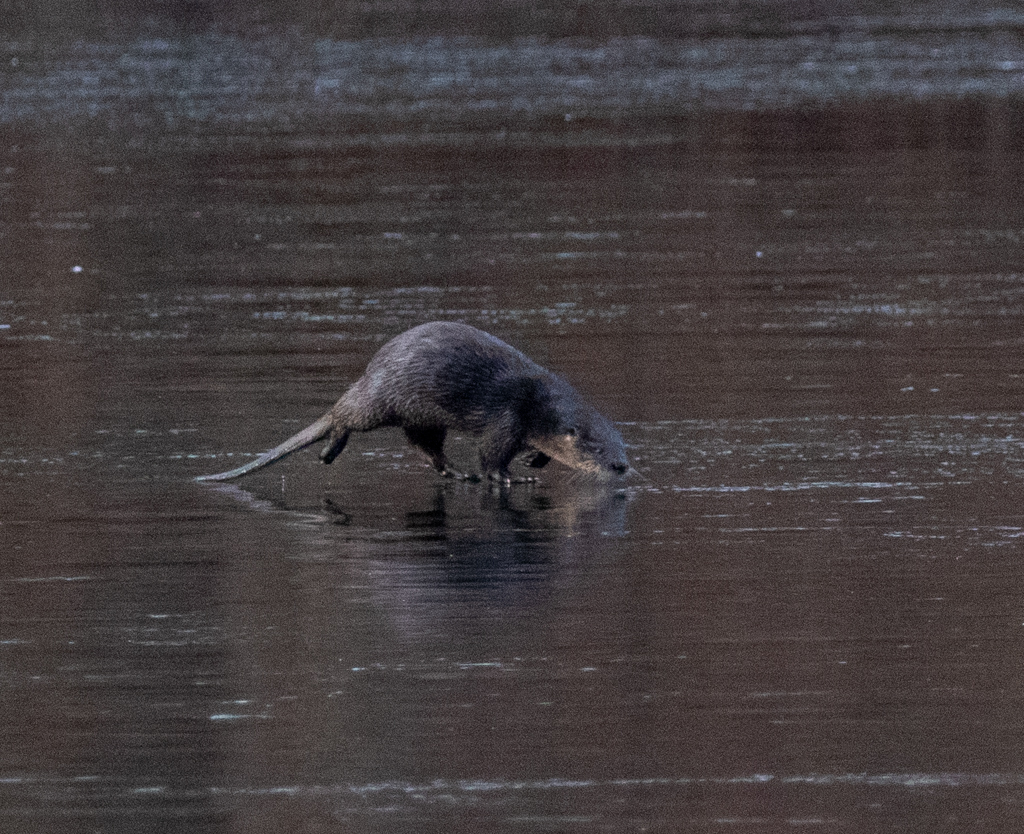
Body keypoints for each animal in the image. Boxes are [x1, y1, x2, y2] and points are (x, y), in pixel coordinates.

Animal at [196, 321, 629, 485]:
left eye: (622, 445)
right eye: (596, 447)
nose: (622, 466)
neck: (536, 403)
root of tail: (370, 372)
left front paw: (533, 460)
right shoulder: (506, 419)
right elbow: (491, 454)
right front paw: (509, 476)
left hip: (424, 418)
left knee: (425, 448)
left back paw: (456, 473)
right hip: (380, 401)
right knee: (343, 414)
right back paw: (329, 450)